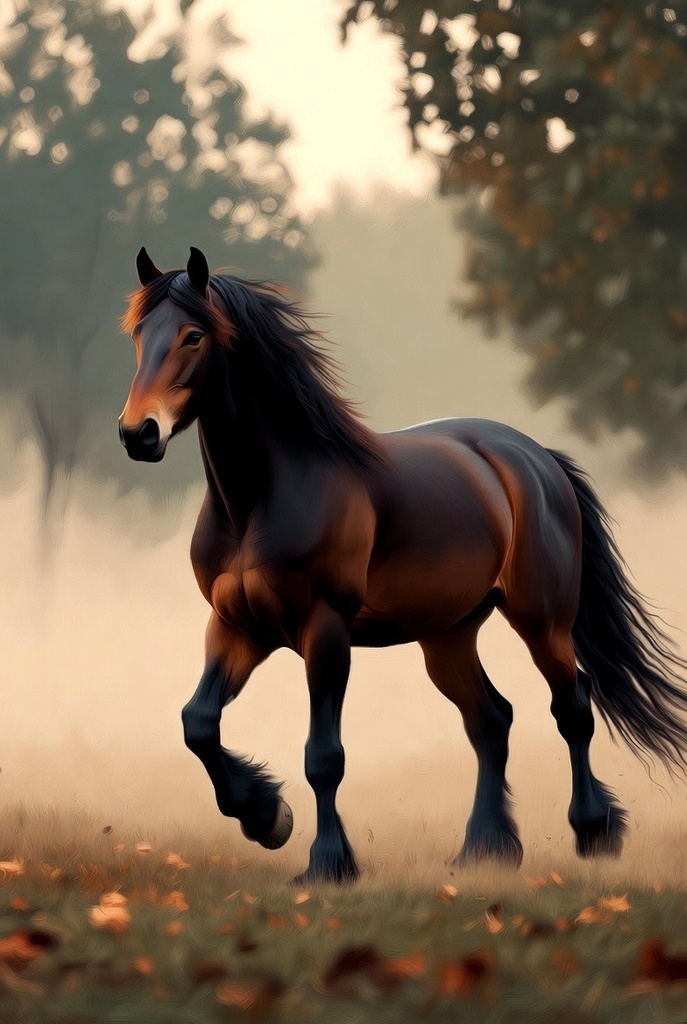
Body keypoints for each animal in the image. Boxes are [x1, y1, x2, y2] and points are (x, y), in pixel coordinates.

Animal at [119, 245, 687, 884]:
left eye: (193, 336)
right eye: (139, 333)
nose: (138, 433)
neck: (261, 499)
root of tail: (535, 459)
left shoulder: (324, 630)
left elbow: (324, 756)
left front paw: (328, 863)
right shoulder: (236, 626)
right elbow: (198, 723)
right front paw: (266, 816)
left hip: (542, 621)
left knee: (572, 707)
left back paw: (593, 831)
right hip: (448, 635)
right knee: (491, 720)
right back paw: (485, 849)